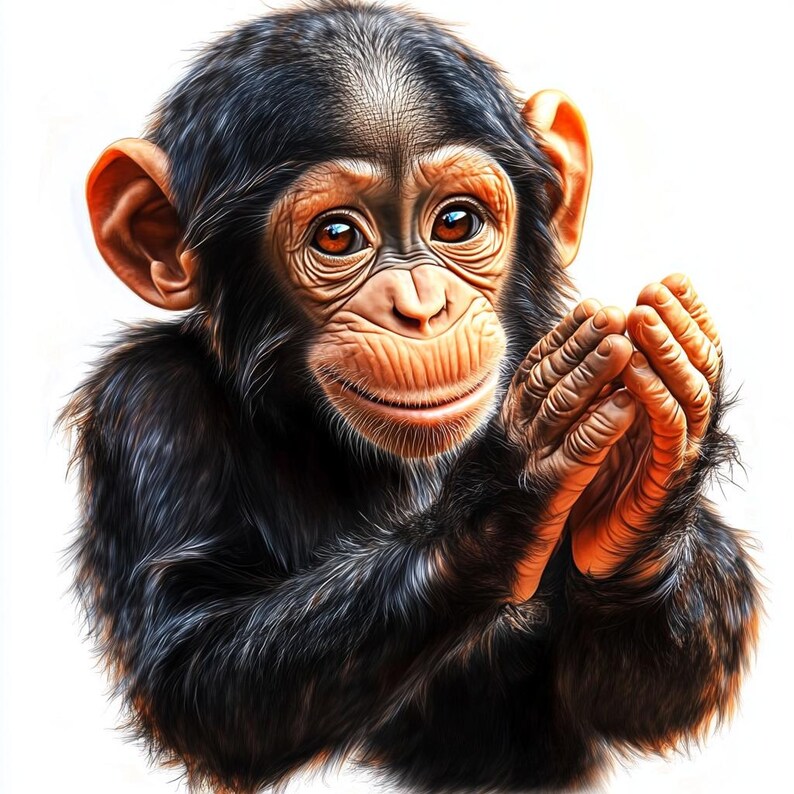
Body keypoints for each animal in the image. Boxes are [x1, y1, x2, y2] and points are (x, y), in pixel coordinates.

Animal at [62, 1, 760, 791]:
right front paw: (510, 489)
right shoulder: (145, 406)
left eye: (456, 221)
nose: (422, 307)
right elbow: (197, 666)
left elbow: (638, 699)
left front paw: (638, 490)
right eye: (338, 236)